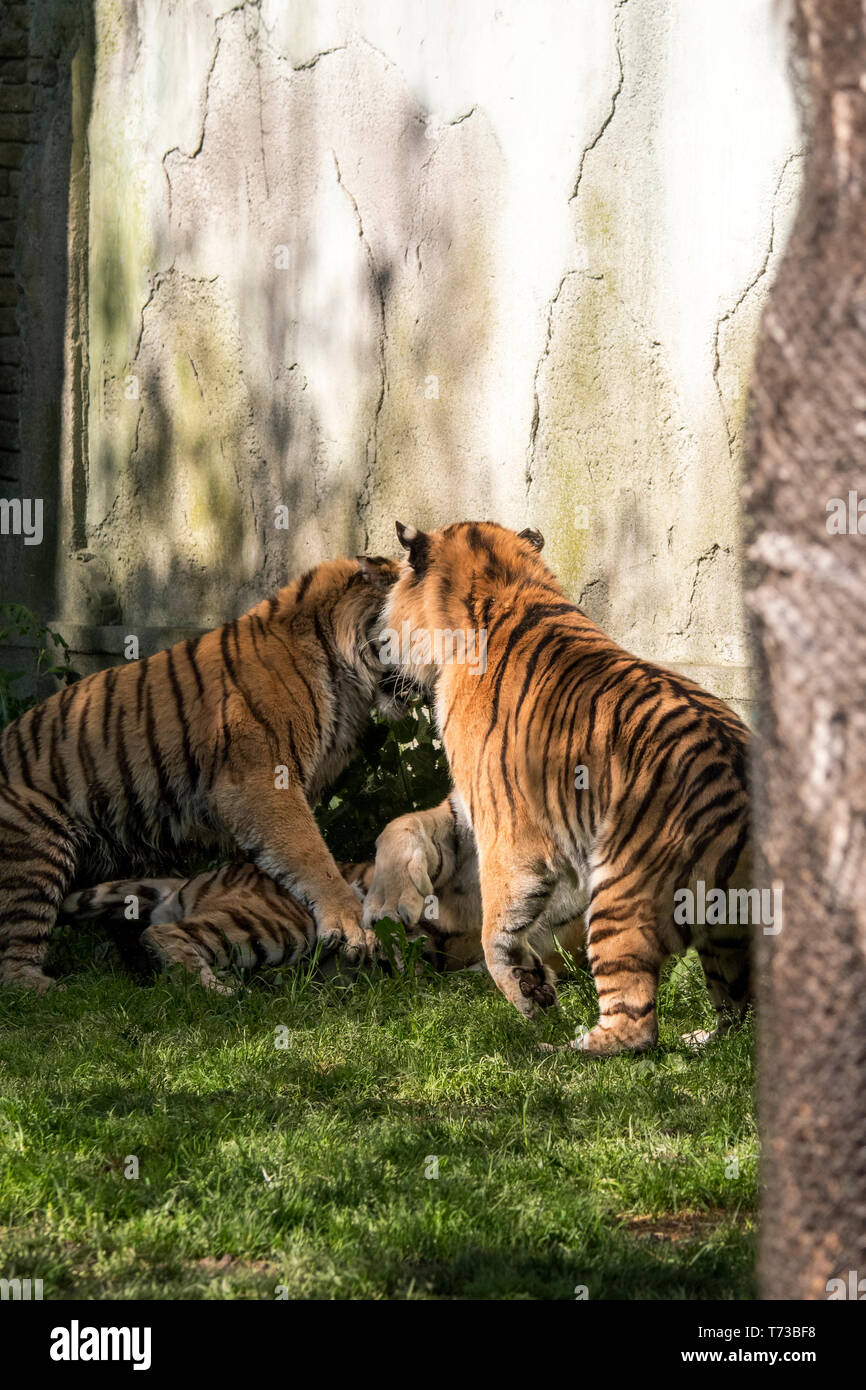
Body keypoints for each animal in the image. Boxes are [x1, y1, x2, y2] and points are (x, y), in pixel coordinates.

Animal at [0, 553, 404, 991]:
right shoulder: (261, 780)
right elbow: (310, 853)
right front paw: (350, 924)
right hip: (36, 849)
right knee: (14, 963)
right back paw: (56, 986)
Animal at [364, 519, 752, 1056]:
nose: (373, 649)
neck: (507, 586)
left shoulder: (505, 832)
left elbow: (496, 926)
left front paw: (528, 989)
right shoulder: (471, 810)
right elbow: (400, 824)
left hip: (619, 896)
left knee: (636, 1029)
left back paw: (560, 1050)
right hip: (725, 941)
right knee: (736, 1009)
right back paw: (702, 1038)